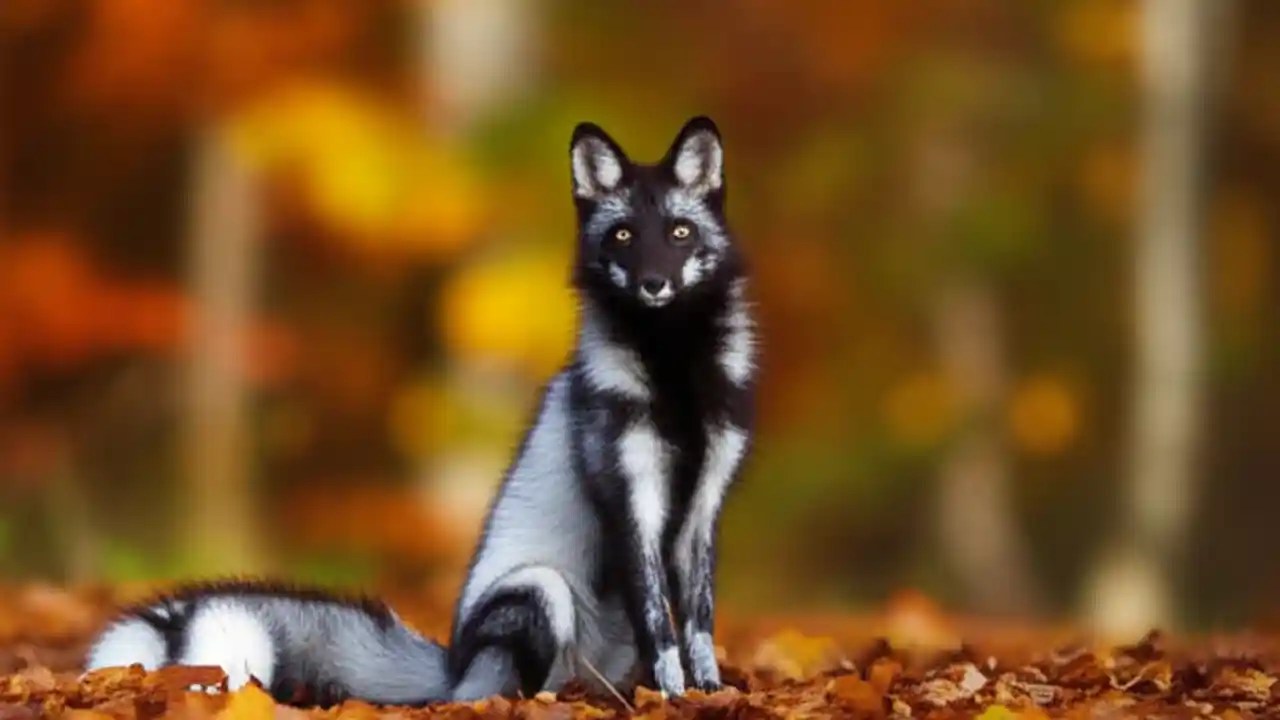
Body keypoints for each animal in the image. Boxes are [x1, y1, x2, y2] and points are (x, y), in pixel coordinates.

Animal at [85, 116, 757, 705]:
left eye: (679, 233)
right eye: (623, 236)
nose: (653, 284)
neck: (676, 379)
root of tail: (450, 663)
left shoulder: (704, 505)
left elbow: (696, 625)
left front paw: (708, 692)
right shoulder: (632, 500)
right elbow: (659, 624)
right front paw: (675, 697)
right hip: (541, 593)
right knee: (492, 695)